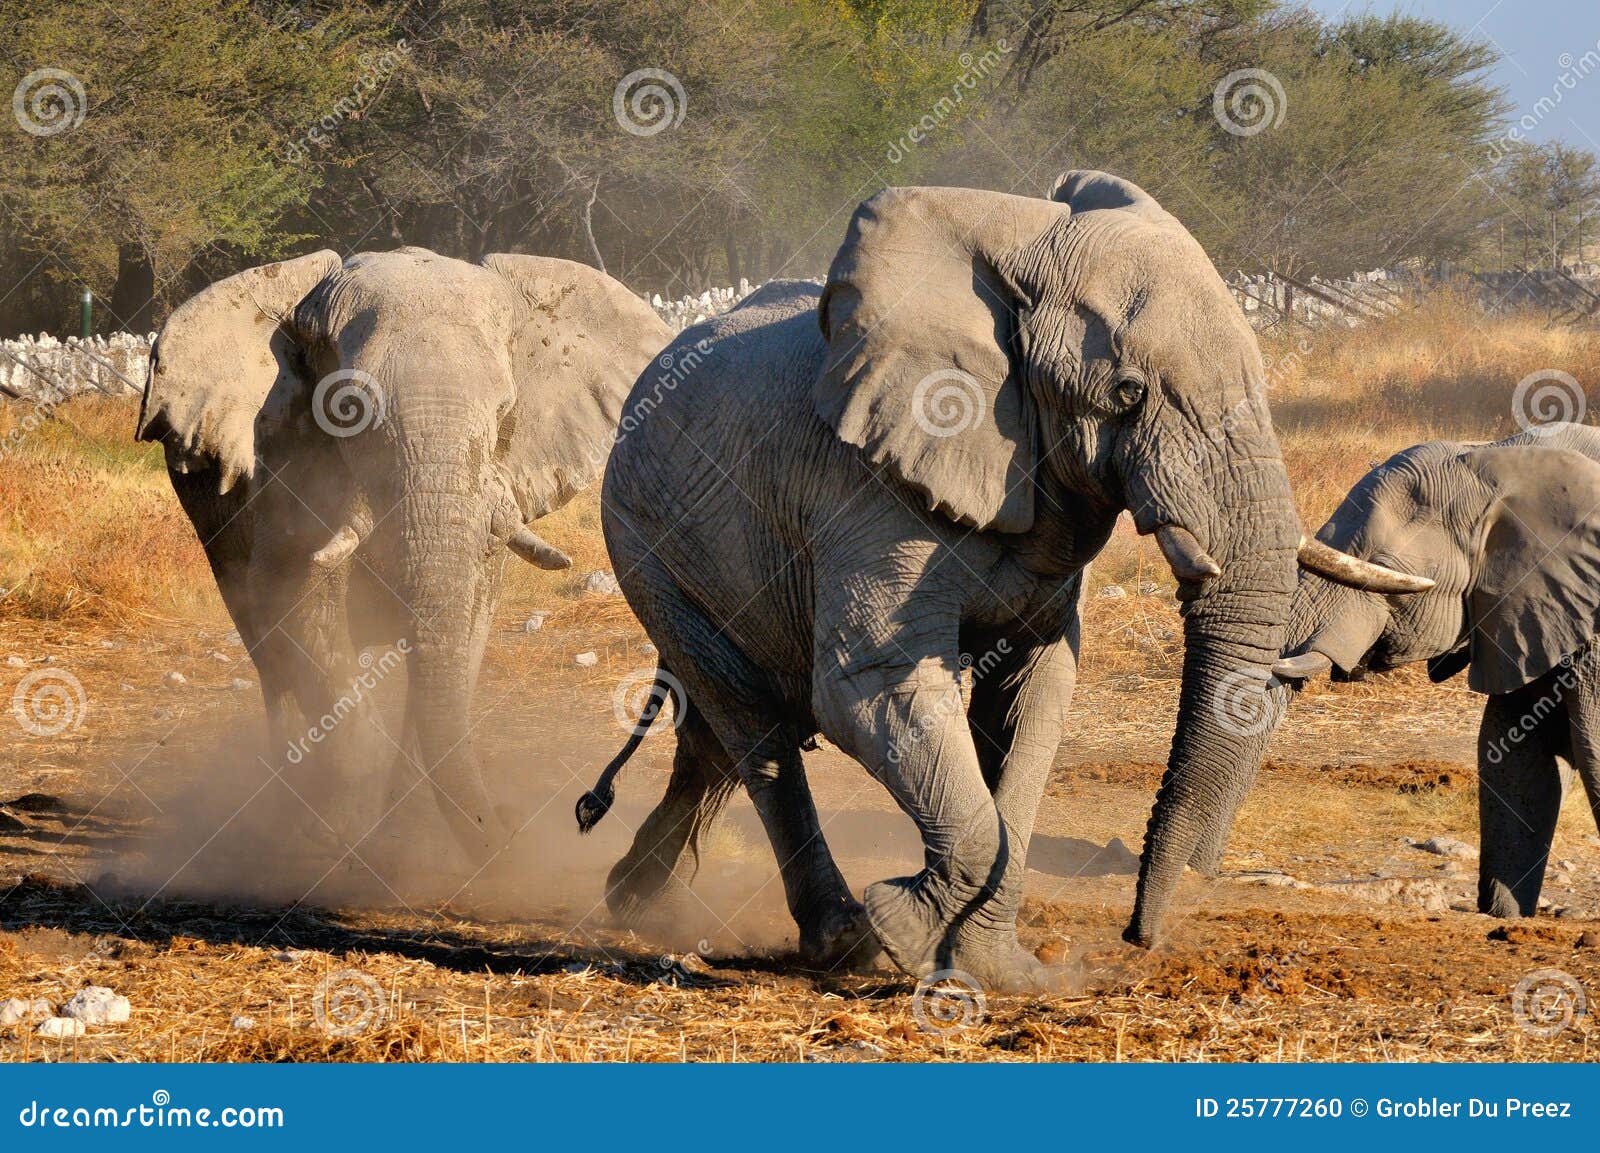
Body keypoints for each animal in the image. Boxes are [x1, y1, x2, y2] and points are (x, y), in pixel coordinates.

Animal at [136, 245, 671, 862]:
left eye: (504, 413)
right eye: (346, 409)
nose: (511, 827)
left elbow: (464, 628)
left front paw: (406, 836)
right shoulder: (282, 456)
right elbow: (297, 601)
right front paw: (347, 825)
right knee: (267, 648)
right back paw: (293, 821)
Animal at [574, 171, 1304, 990]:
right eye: (1127, 392)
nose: (1136, 936)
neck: (1023, 239)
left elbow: (1031, 696)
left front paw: (1001, 973)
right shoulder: (863, 488)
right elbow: (870, 687)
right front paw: (900, 923)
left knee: (716, 735)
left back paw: (635, 899)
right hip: (643, 547)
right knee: (755, 728)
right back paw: (846, 941)